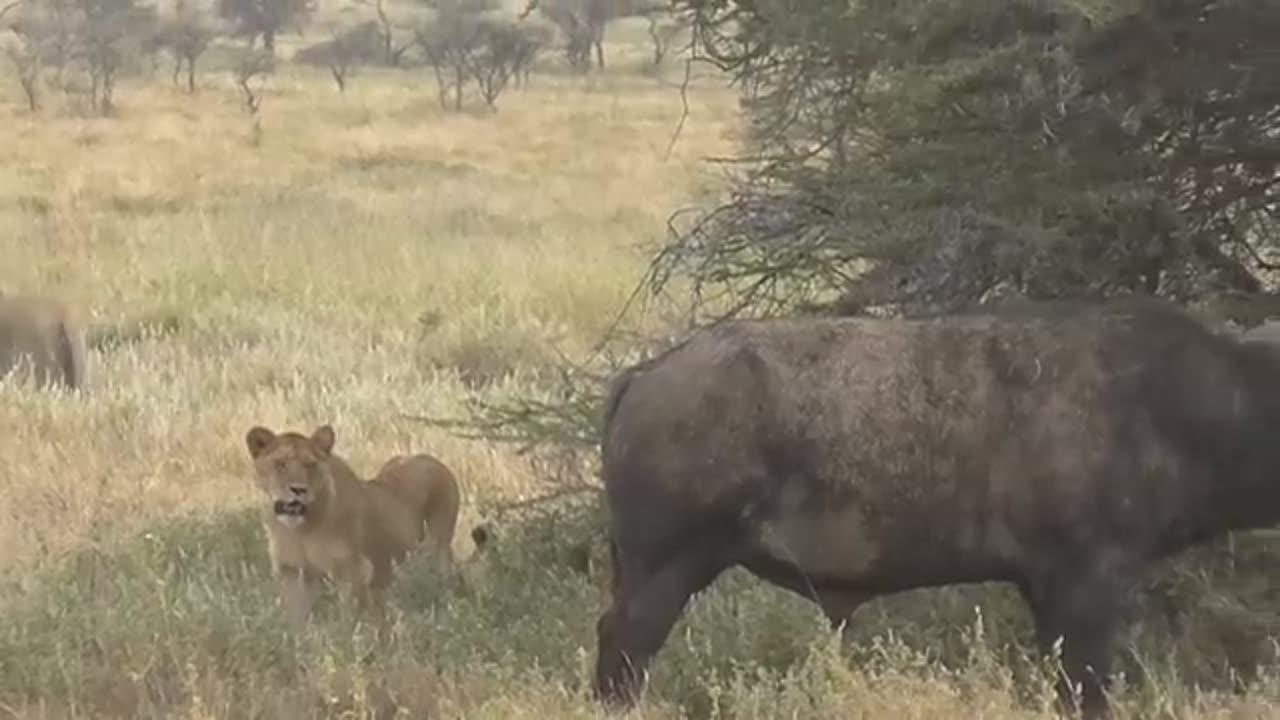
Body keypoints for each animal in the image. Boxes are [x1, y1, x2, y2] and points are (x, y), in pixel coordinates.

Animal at [244, 423, 461, 628]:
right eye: (280, 464)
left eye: (310, 465)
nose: (299, 490)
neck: (301, 531)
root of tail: (433, 460)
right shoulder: (291, 571)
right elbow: (297, 618)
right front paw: (300, 639)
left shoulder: (353, 570)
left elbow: (348, 616)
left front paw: (346, 637)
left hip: (440, 544)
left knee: (446, 574)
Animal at [593, 296, 1280, 719]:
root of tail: (648, 374)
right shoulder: (1086, 583)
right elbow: (1087, 686)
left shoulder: (1049, 592)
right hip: (666, 570)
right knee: (625, 648)